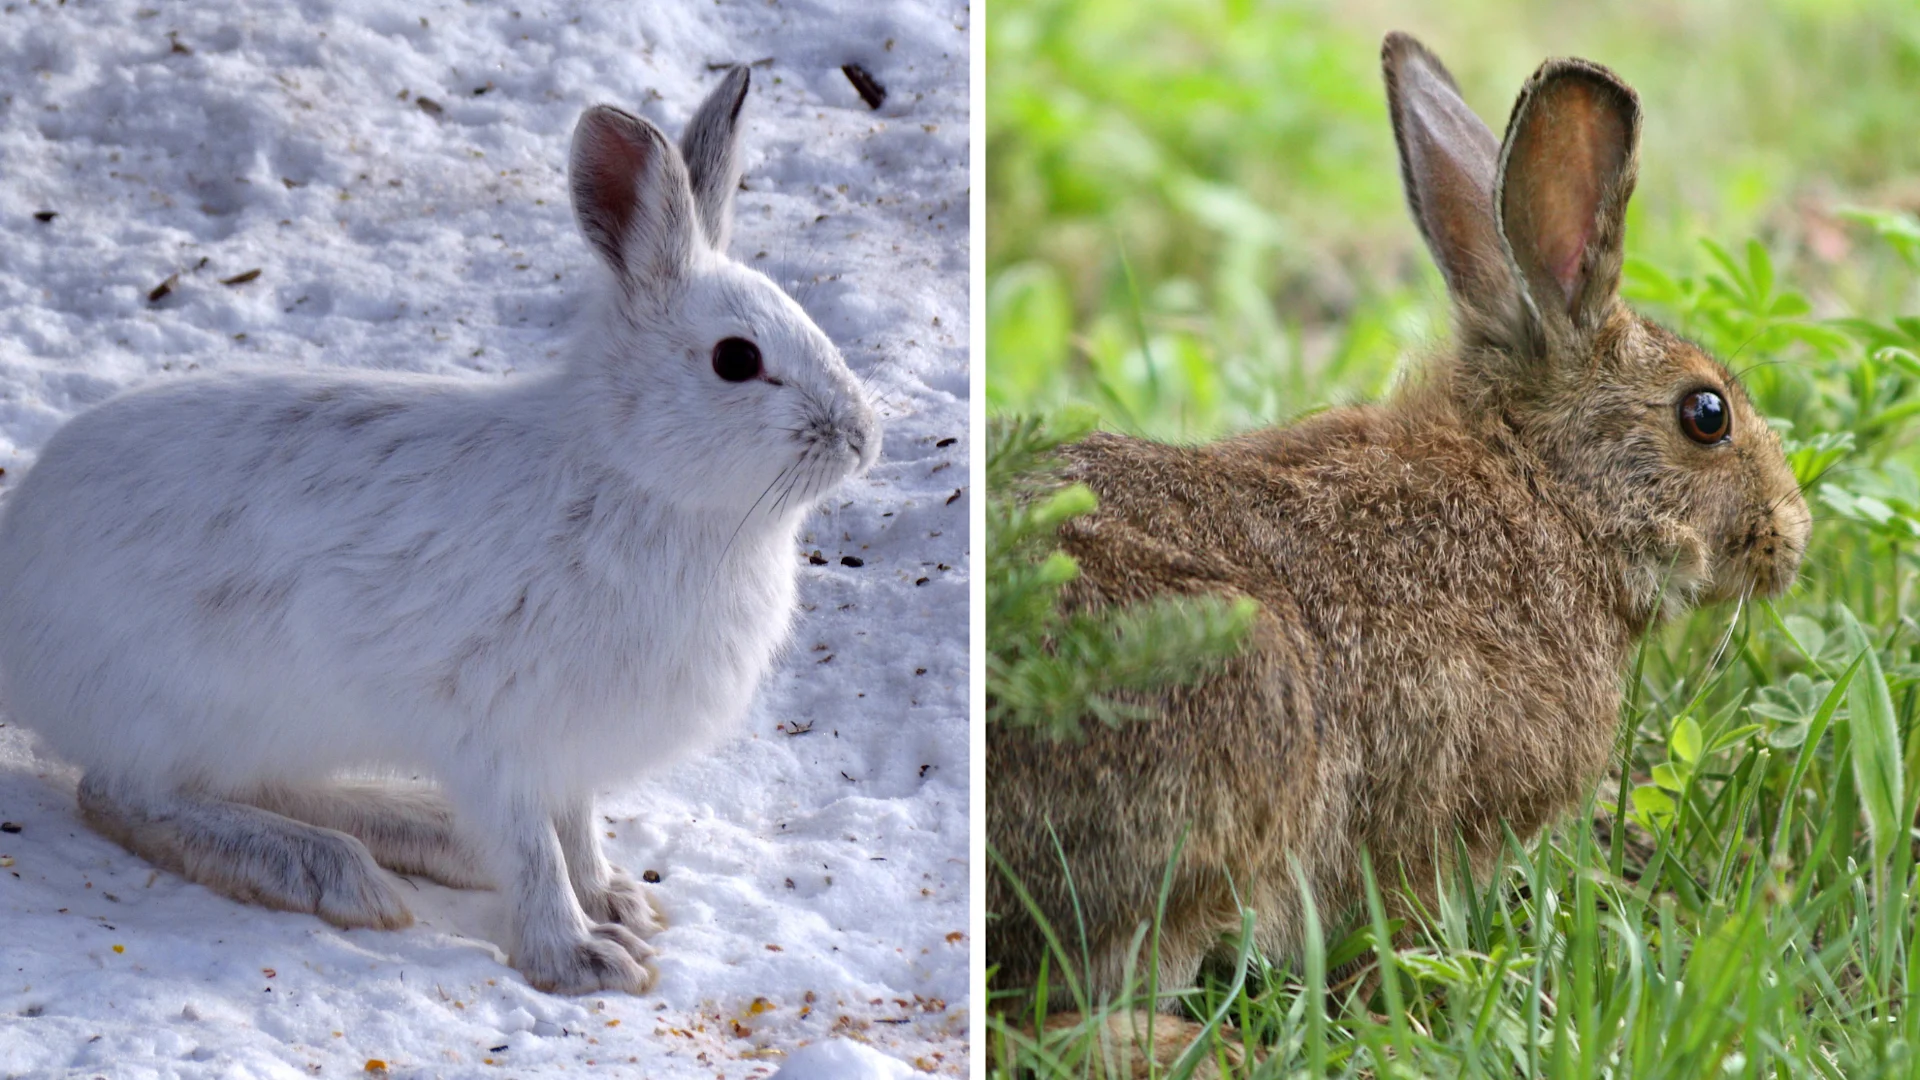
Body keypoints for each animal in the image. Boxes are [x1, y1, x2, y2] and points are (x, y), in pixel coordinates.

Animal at [0, 64, 880, 996]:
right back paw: (325, 870)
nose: (862, 436)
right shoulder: (496, 733)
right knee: (124, 795)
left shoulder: (564, 752)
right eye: (736, 360)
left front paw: (616, 902)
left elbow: (576, 833)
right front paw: (583, 959)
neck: (629, 473)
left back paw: (419, 833)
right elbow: (534, 852)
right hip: (187, 701)